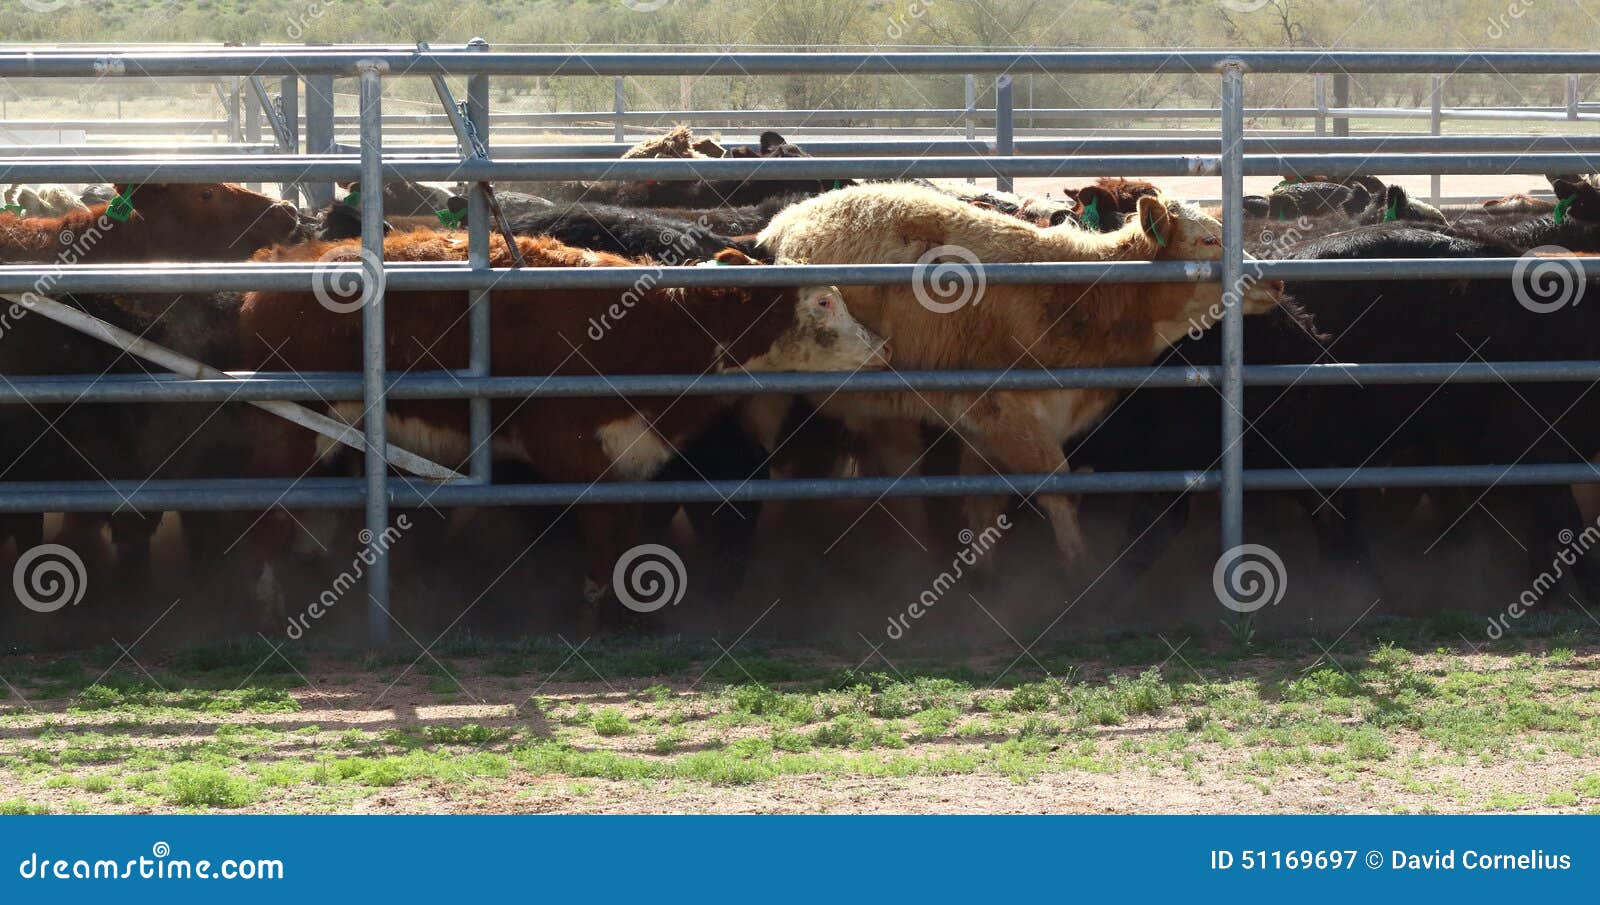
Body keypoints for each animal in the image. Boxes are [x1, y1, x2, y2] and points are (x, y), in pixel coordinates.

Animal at [239, 232, 888, 624]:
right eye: (824, 302)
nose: (881, 346)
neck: (653, 328)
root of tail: (272, 270)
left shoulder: (631, 454)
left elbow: (623, 534)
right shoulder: (570, 449)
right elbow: (599, 533)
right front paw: (590, 615)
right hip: (289, 428)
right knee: (267, 513)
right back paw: (267, 603)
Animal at [756, 182, 1284, 573]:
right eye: (1209, 240)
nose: (1277, 280)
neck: (1083, 299)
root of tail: (782, 226)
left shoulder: (981, 430)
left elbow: (981, 500)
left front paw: (985, 576)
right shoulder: (1007, 413)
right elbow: (1057, 491)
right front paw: (1078, 570)